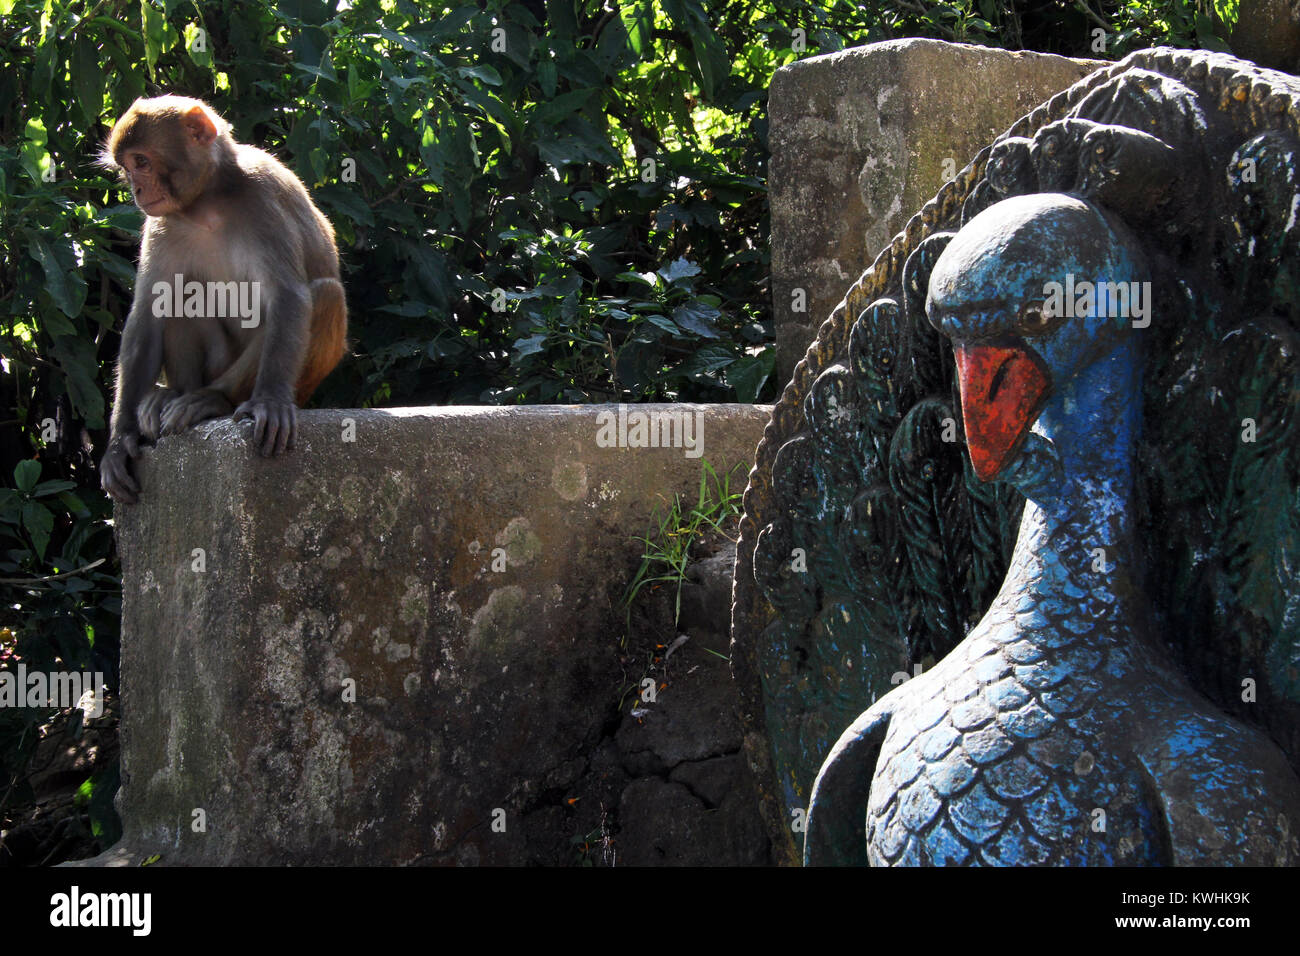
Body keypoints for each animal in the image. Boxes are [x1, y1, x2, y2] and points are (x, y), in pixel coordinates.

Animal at [98, 95, 347, 504]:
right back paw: (171, 396)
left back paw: (213, 399)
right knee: (179, 296)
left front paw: (269, 402)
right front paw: (120, 442)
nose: (136, 190)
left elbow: (289, 296)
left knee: (326, 294)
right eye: (127, 168)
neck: (207, 203)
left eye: (142, 162)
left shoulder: (263, 196)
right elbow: (149, 311)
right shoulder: (161, 223)